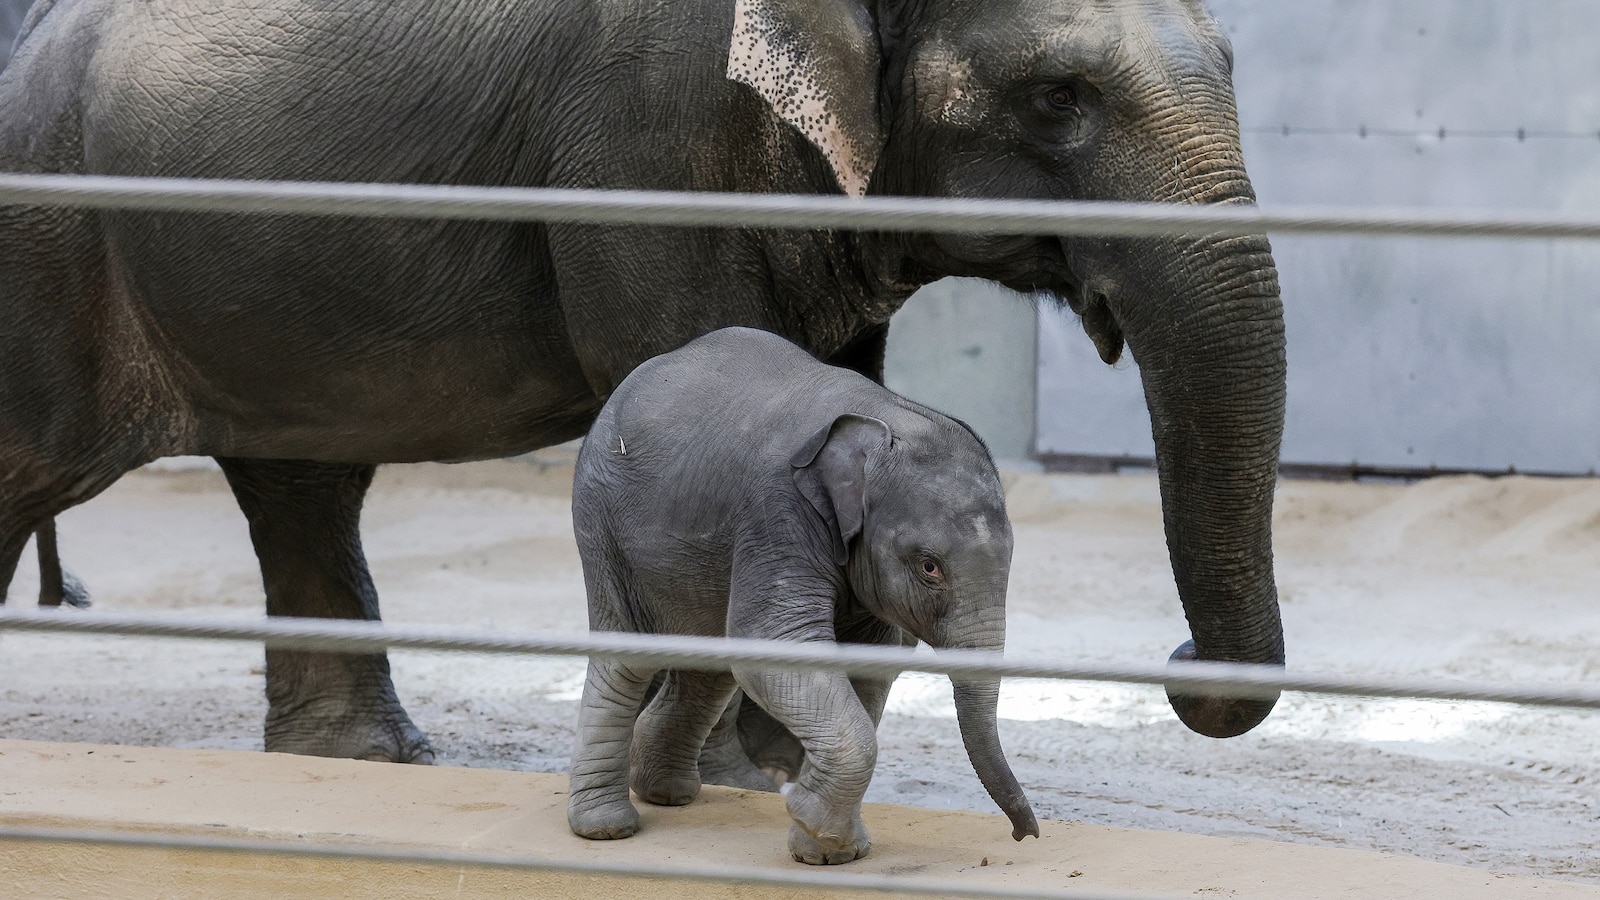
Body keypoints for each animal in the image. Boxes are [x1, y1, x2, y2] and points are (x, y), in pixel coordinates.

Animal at [0, 0, 1287, 767]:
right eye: (1059, 96)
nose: (1182, 665)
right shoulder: (648, 140)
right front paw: (732, 770)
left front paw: (766, 771)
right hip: (57, 247)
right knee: (38, 469)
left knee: (303, 486)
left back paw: (361, 762)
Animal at [567, 327, 1038, 864]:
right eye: (929, 567)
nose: (1024, 835)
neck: (886, 417)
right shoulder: (779, 512)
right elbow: (776, 643)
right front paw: (814, 822)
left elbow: (868, 661)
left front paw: (830, 849)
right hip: (603, 529)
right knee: (627, 659)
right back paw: (606, 828)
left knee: (709, 661)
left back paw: (668, 793)